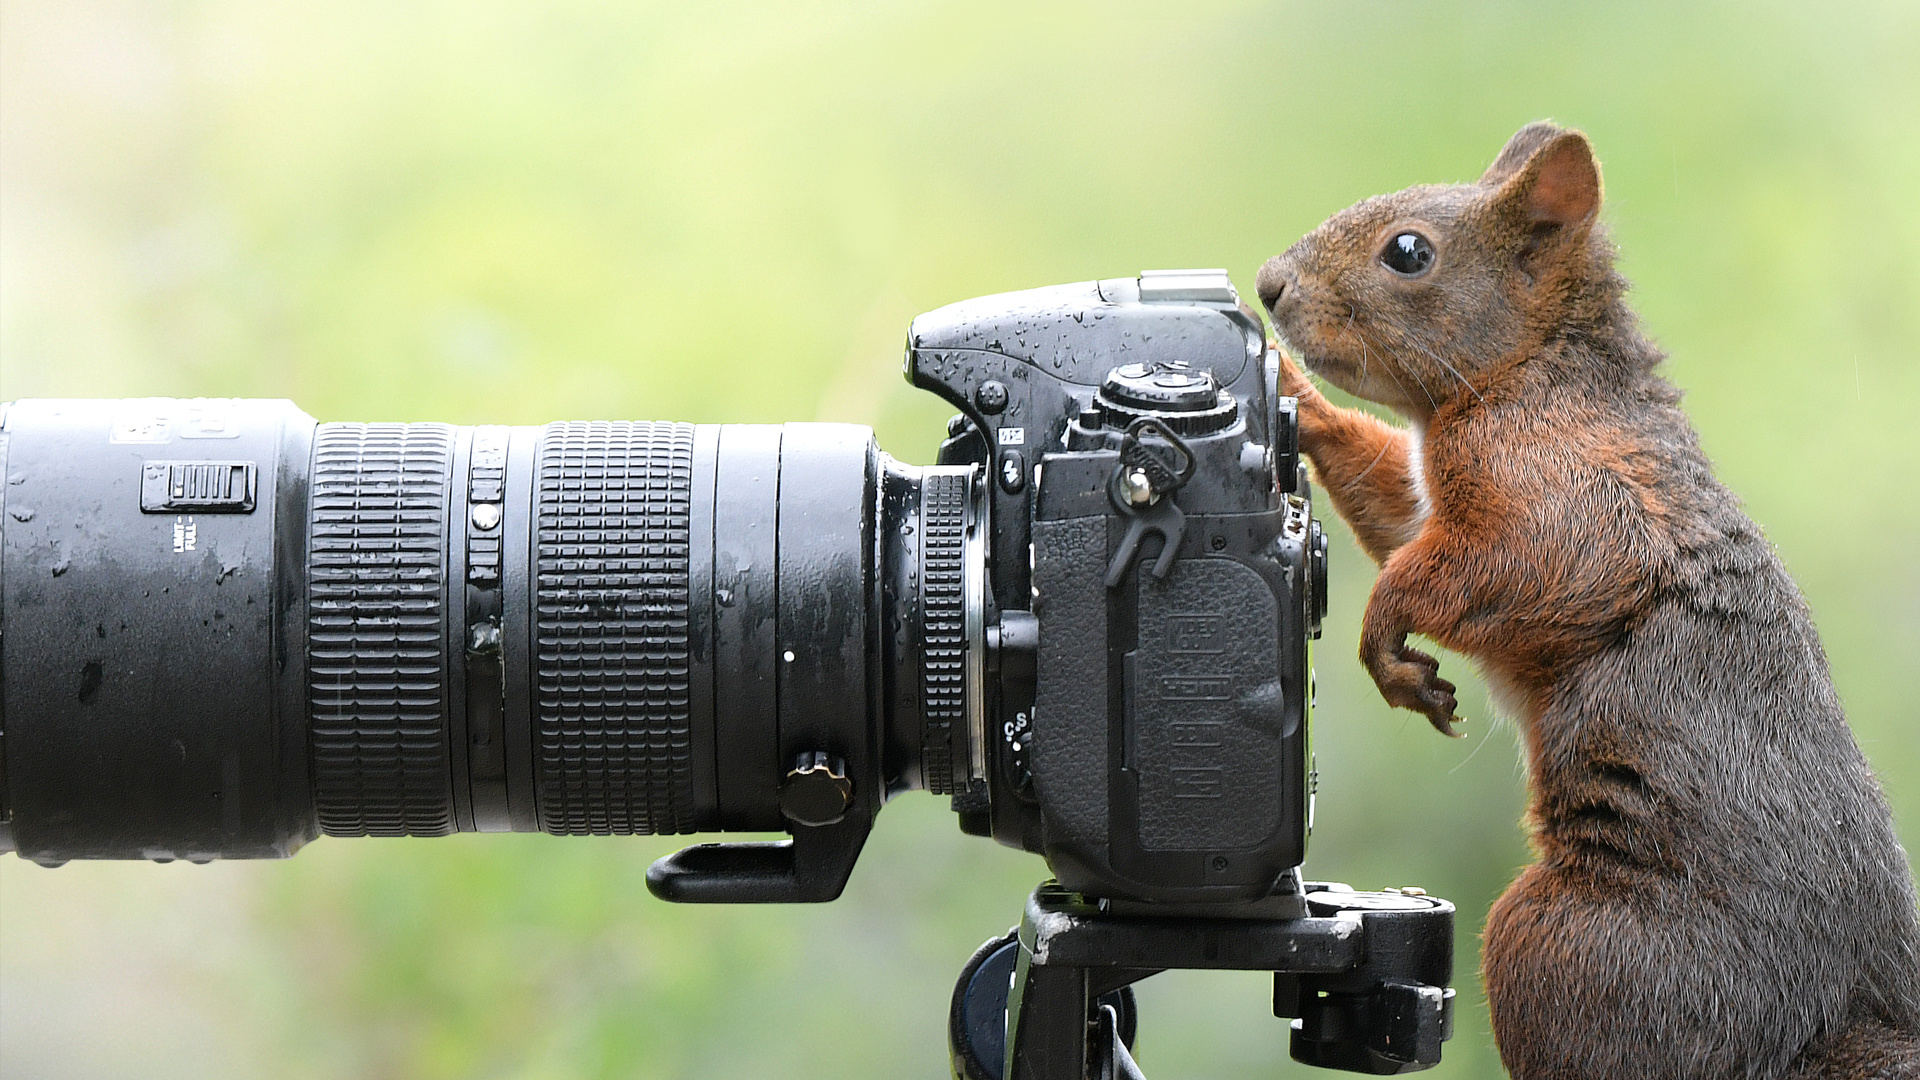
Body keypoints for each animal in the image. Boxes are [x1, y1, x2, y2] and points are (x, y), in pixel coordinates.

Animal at [1255, 122, 1920, 1079]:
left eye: (1409, 253)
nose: (1270, 285)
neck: (1535, 372)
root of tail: (1830, 1020)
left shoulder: (1566, 499)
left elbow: (1470, 571)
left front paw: (1386, 648)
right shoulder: (1434, 494)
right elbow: (1393, 501)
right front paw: (1299, 400)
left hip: (1565, 943)